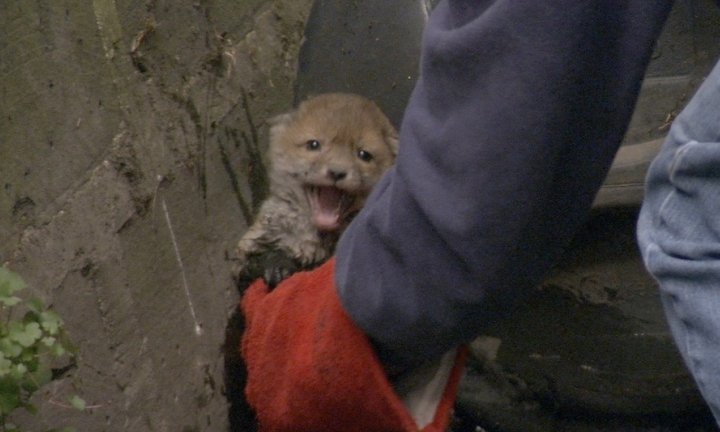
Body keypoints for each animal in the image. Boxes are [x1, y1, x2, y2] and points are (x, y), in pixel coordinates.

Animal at [235, 93, 399, 288]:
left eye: (364, 154)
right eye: (313, 144)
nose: (337, 172)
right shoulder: (252, 248)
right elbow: (254, 261)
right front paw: (276, 264)